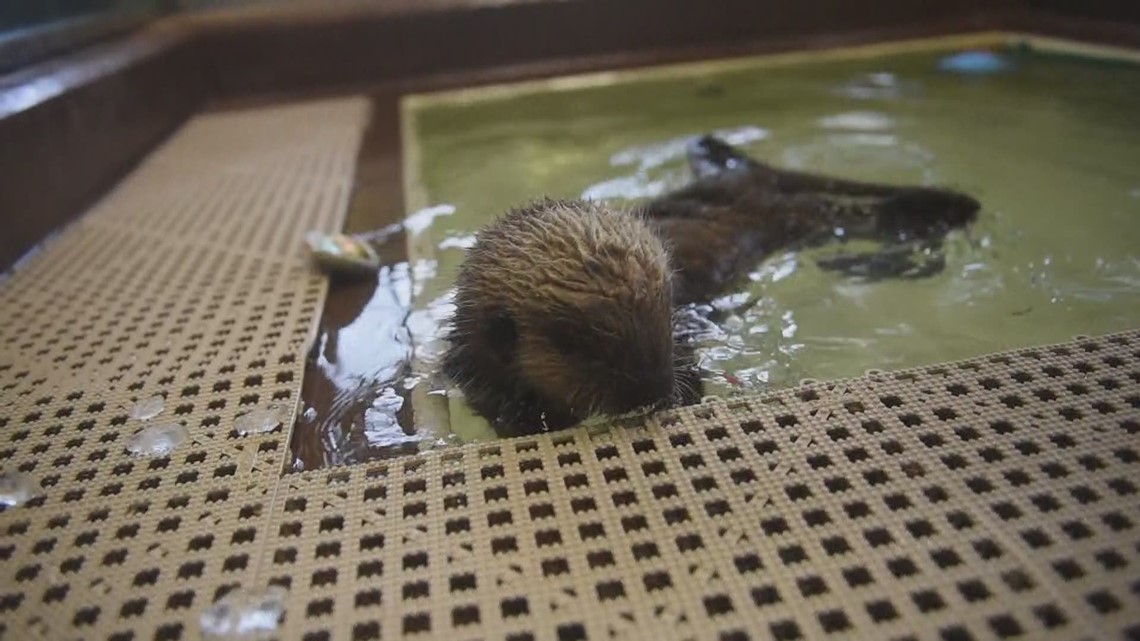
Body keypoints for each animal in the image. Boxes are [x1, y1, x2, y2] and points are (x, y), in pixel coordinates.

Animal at [443, 135, 980, 435]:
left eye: (664, 311)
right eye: (573, 346)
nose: (655, 387)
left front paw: (683, 390)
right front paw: (525, 414)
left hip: (799, 212)